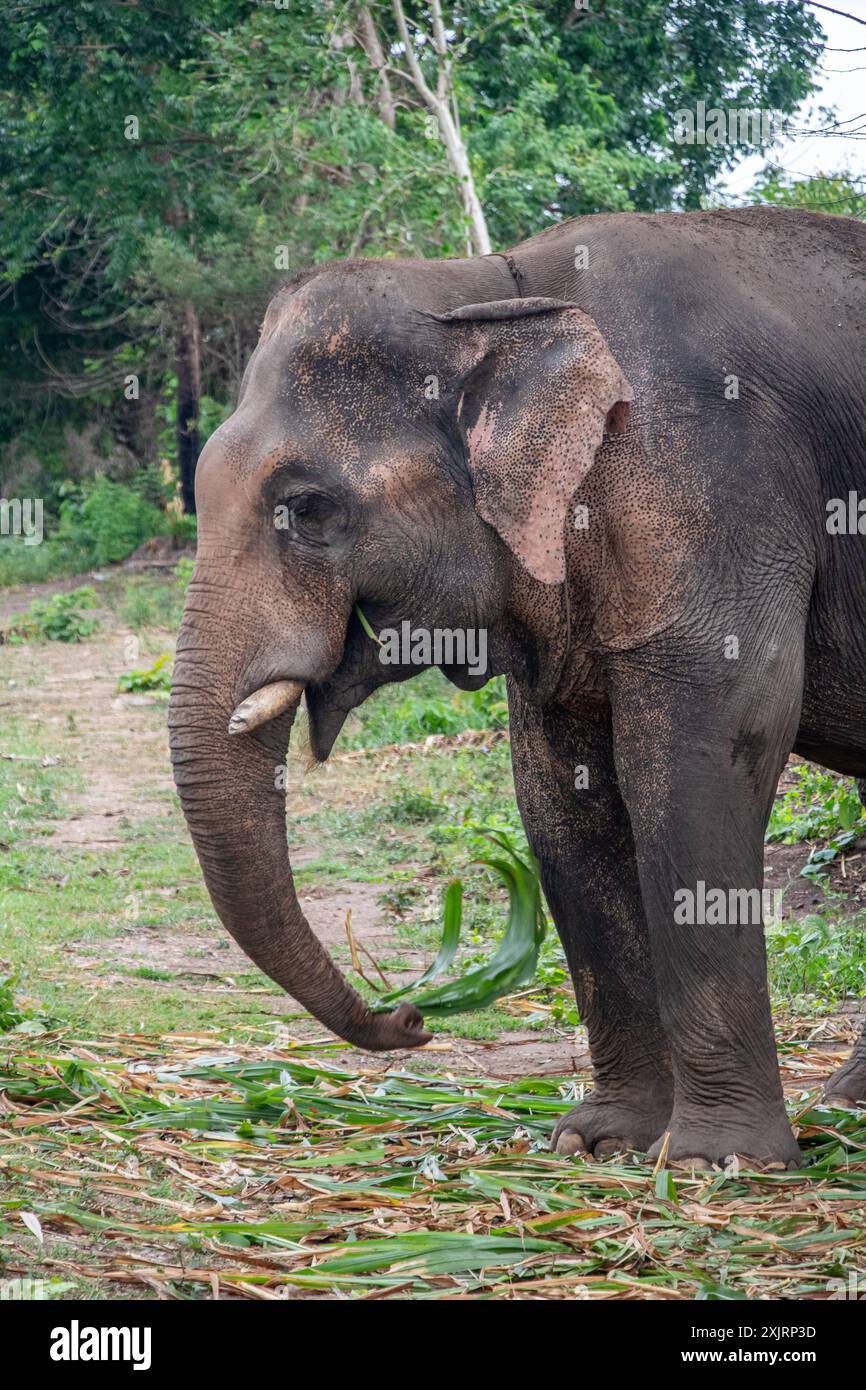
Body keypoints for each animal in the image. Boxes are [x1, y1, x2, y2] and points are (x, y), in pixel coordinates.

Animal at [169, 205, 866, 1169]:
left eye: (307, 509)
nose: (414, 1016)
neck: (489, 292)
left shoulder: (719, 485)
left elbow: (705, 763)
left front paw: (716, 1163)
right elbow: (560, 802)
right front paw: (597, 1141)